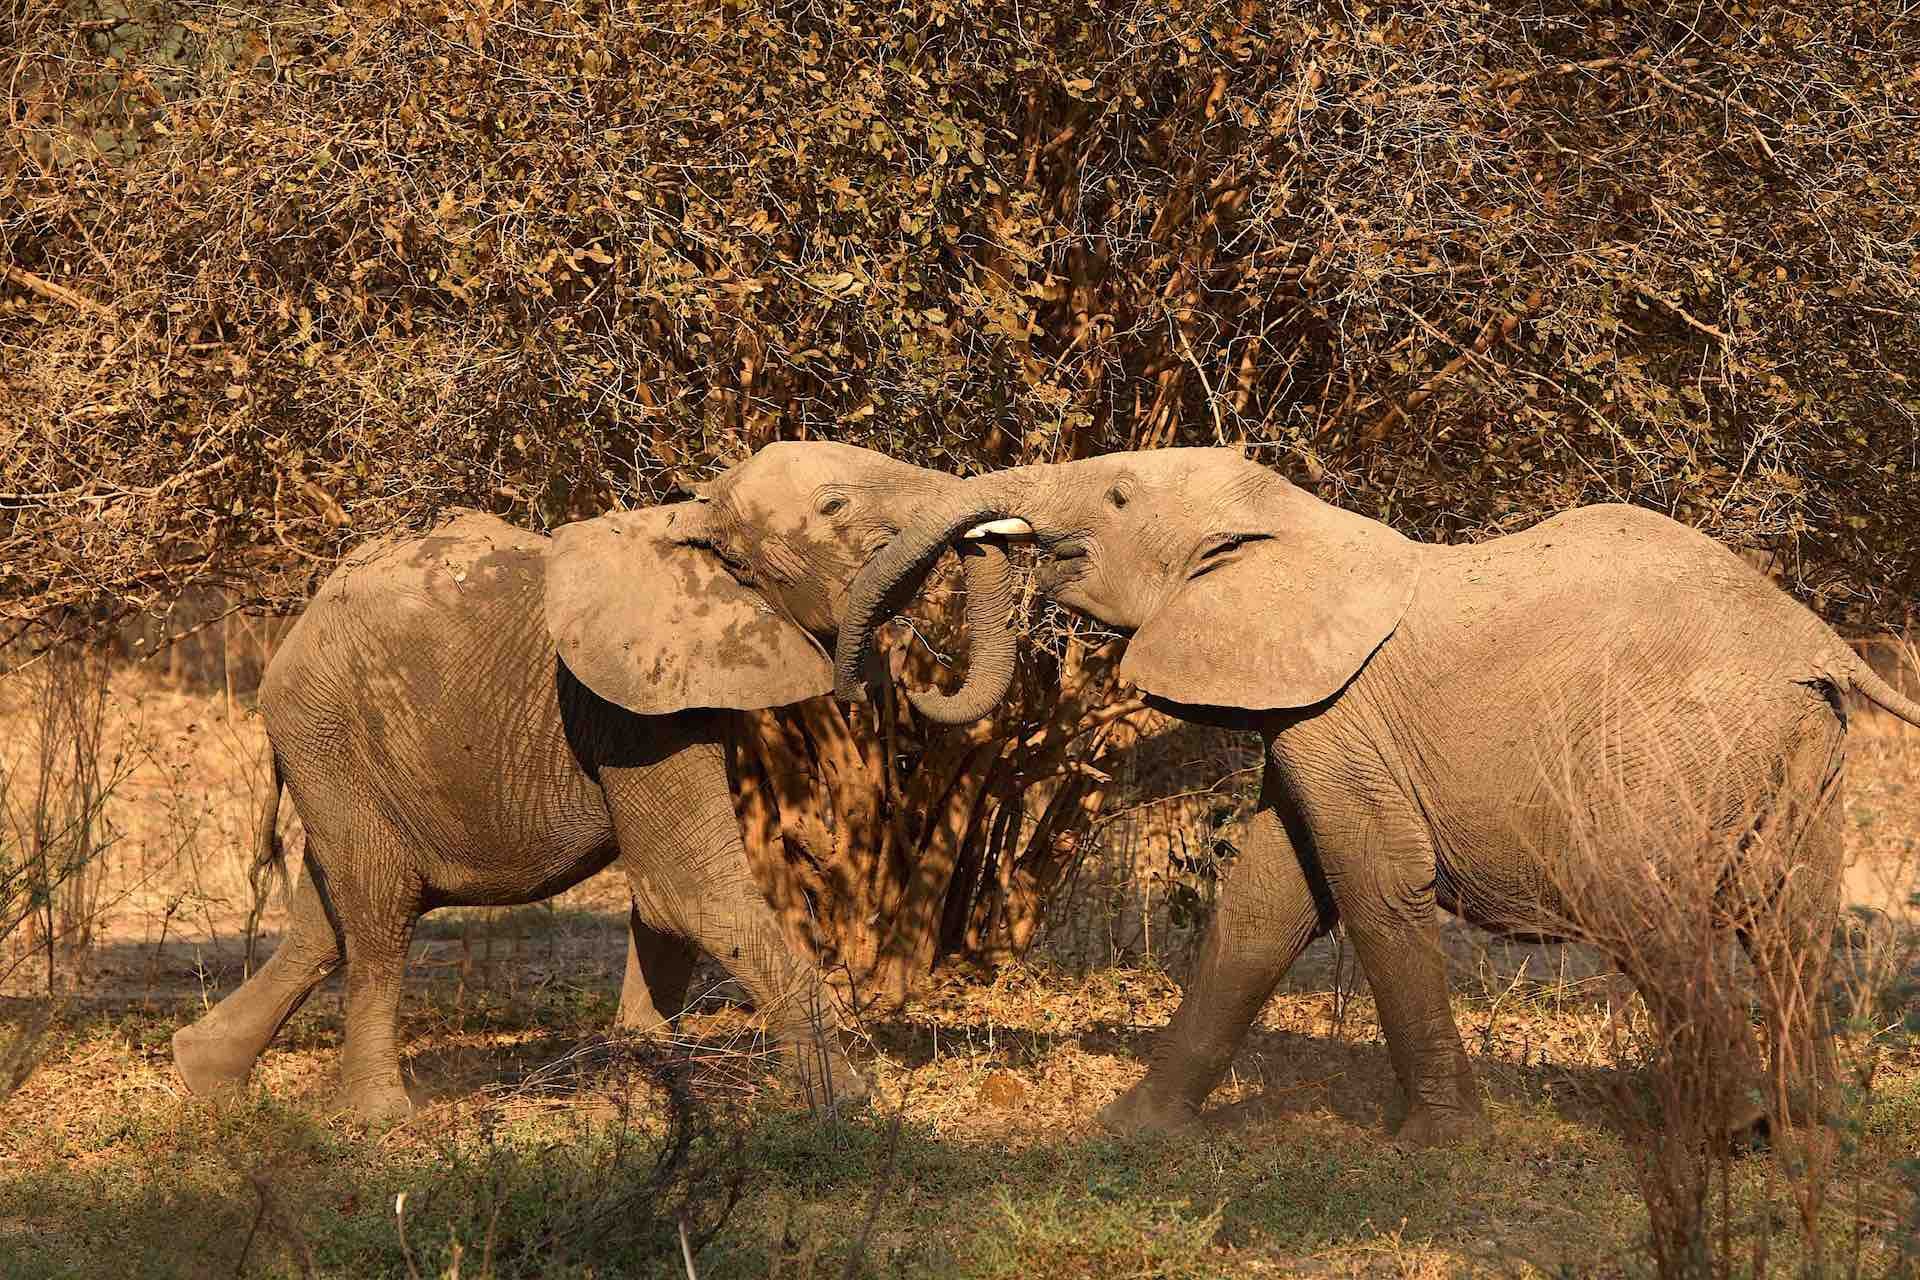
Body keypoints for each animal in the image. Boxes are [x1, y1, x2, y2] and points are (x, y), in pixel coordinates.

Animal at [171, 441, 1017, 1121]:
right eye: (834, 505)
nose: (907, 681)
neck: (694, 515)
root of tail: (295, 630)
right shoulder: (629, 709)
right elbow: (690, 891)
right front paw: (849, 1105)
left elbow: (664, 908)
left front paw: (647, 1105)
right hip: (326, 729)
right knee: (380, 907)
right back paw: (379, 1118)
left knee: (326, 917)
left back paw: (202, 1076)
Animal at [831, 447, 1920, 1146]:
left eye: (1118, 494)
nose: (895, 682)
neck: (1294, 522)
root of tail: (1815, 642)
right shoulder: (1305, 717)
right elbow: (1266, 901)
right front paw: (1131, 1130)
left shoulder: (1340, 717)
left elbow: (1372, 885)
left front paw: (1433, 1145)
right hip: (1801, 752)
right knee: (1791, 921)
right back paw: (1808, 1128)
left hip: (1664, 745)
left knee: (1649, 907)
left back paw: (1728, 1136)